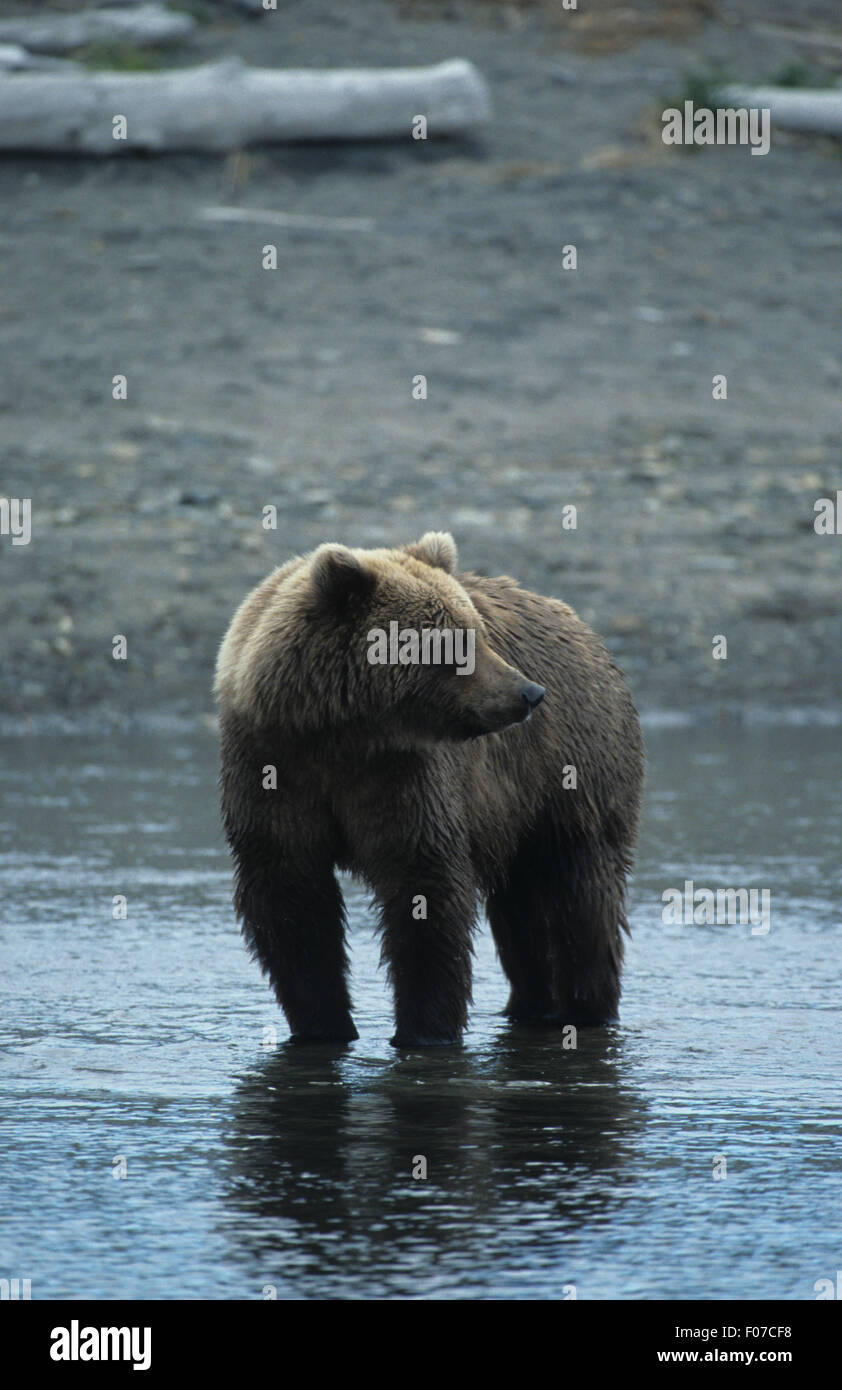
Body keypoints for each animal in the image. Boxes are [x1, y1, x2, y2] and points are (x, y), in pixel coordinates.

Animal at [215, 532, 644, 1047]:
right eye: (455, 644)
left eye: (478, 632)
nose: (529, 693)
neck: (341, 733)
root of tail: (581, 625)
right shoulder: (274, 768)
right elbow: (290, 900)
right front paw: (323, 1027)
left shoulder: (408, 776)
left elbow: (424, 889)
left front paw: (424, 1031)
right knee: (522, 906)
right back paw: (531, 1004)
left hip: (572, 773)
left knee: (580, 893)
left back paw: (588, 1008)